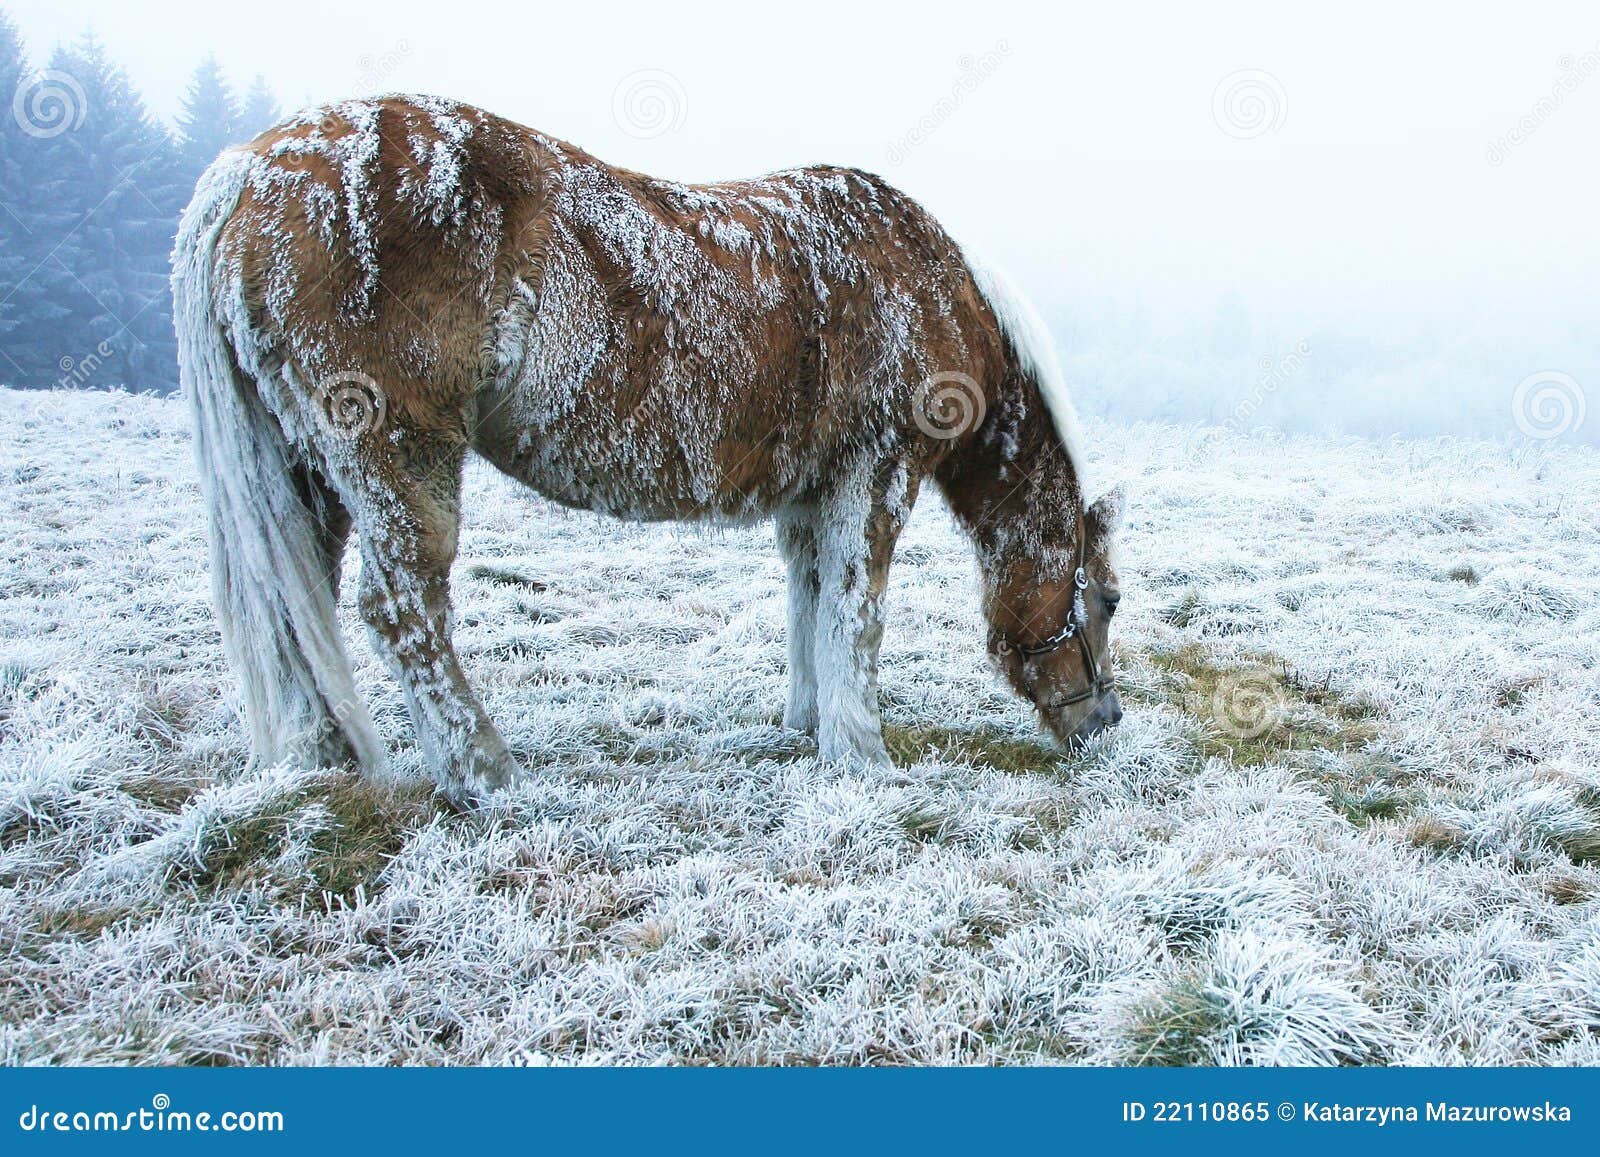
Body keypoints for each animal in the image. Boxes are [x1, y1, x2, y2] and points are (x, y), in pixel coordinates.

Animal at [171, 94, 1125, 805]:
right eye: (1108, 600)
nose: (1104, 724)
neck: (927, 286)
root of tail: (244, 174)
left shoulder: (810, 495)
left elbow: (811, 599)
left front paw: (808, 722)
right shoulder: (875, 475)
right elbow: (855, 613)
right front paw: (862, 754)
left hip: (309, 473)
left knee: (305, 609)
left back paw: (327, 757)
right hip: (399, 456)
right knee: (400, 608)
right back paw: (486, 773)